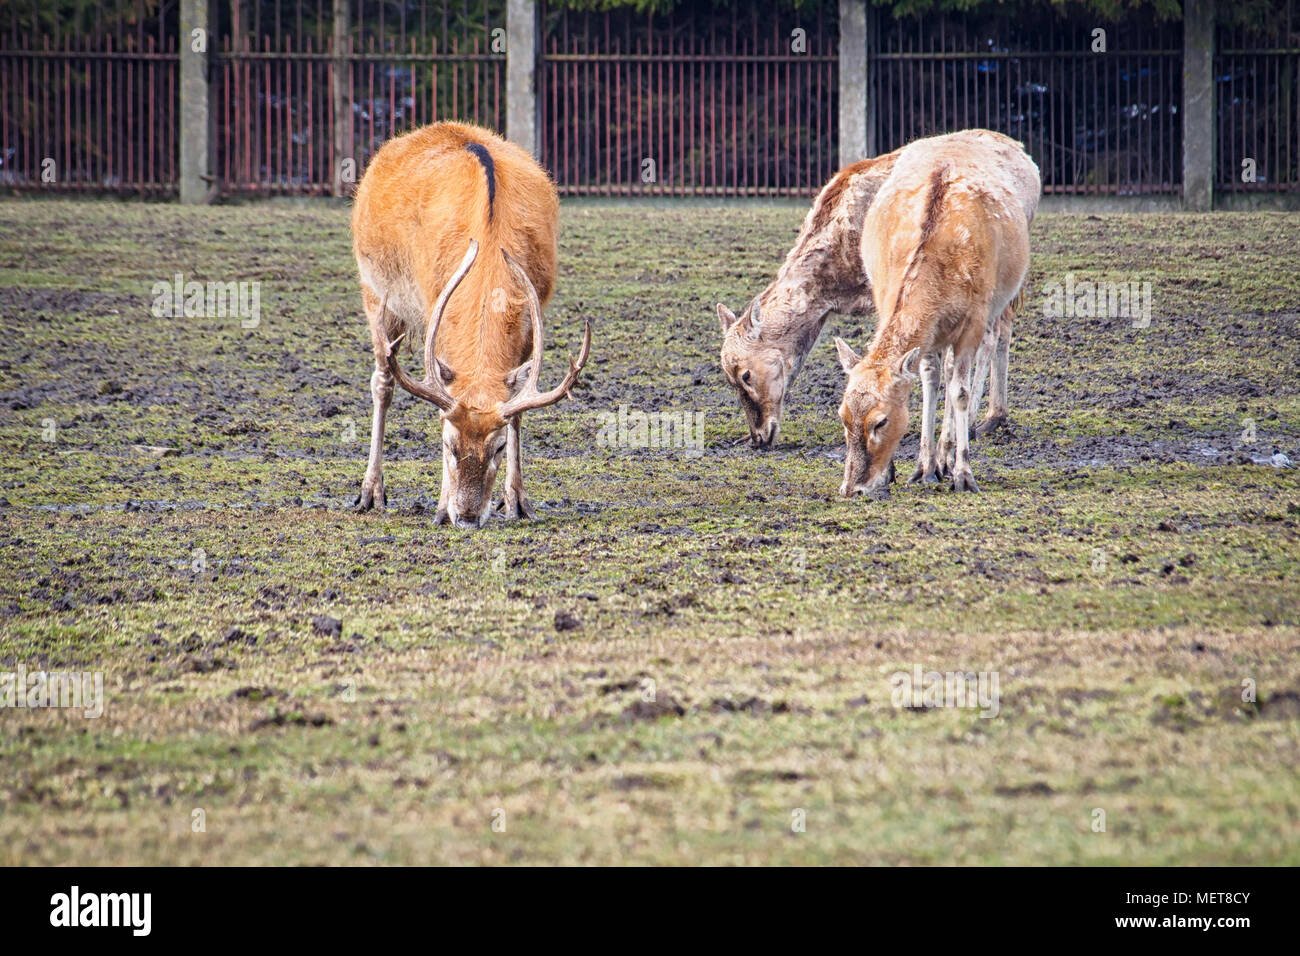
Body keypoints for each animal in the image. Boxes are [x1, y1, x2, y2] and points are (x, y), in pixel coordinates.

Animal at [350, 121, 591, 528]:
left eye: (499, 446)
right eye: (448, 443)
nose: (465, 515)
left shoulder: (531, 320)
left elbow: (518, 410)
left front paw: (518, 502)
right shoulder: (435, 310)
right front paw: (439, 508)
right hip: (375, 293)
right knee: (382, 381)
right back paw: (371, 493)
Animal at [834, 129, 1036, 498]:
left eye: (881, 421)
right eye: (842, 415)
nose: (851, 488)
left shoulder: (973, 318)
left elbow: (959, 391)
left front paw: (963, 473)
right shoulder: (909, 318)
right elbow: (928, 381)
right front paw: (921, 468)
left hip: (1004, 296)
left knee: (992, 342)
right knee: (946, 368)